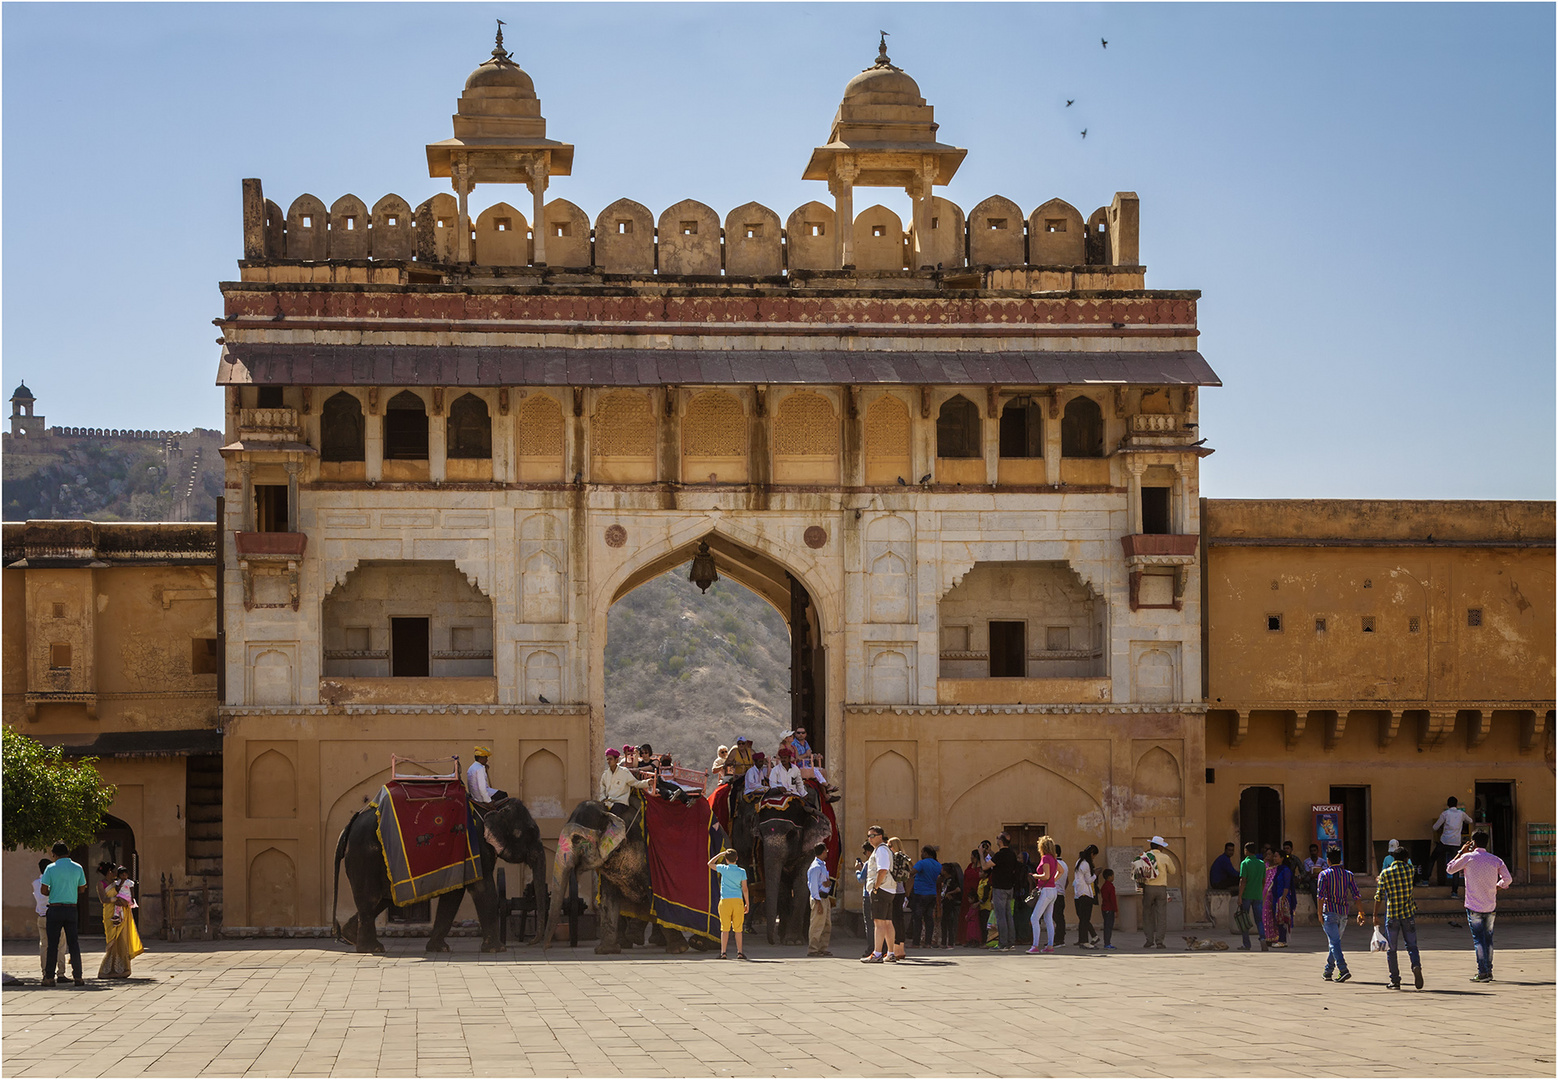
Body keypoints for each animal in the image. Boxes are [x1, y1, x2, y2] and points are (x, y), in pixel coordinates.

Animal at [328, 791, 548, 953]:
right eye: (531, 832)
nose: (531, 943)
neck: (490, 807)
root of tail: (348, 827)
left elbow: (454, 894)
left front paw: (439, 949)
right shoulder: (476, 847)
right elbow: (482, 889)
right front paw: (497, 950)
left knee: (383, 898)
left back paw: (350, 937)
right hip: (365, 856)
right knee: (371, 897)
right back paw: (372, 949)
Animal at [542, 791, 694, 953]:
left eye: (576, 838)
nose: (547, 947)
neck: (608, 811)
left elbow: (655, 897)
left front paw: (679, 949)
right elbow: (608, 899)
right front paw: (606, 950)